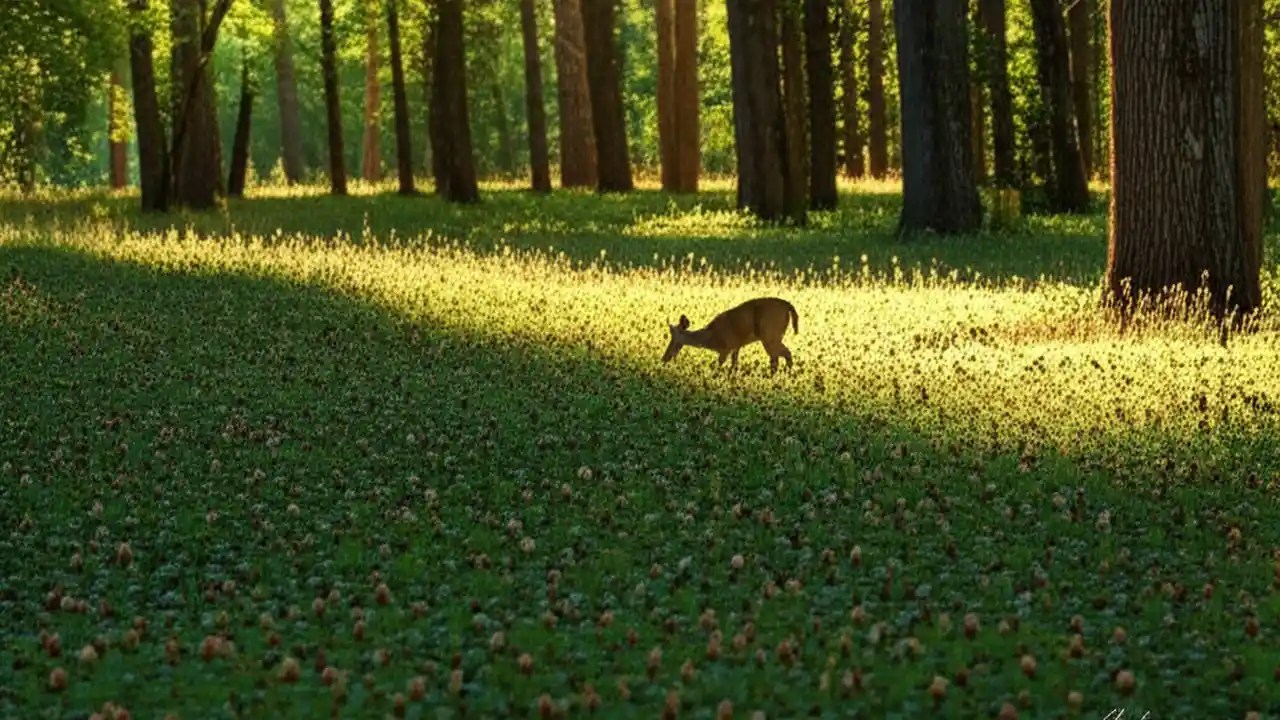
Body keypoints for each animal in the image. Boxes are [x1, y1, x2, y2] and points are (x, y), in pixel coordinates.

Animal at [662, 297, 799, 374]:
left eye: (675, 341)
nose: (664, 358)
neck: (711, 338)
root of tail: (788, 305)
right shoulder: (736, 346)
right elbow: (734, 365)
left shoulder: (726, 348)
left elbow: (718, 364)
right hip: (774, 335)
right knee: (780, 356)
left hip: (770, 335)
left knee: (781, 355)